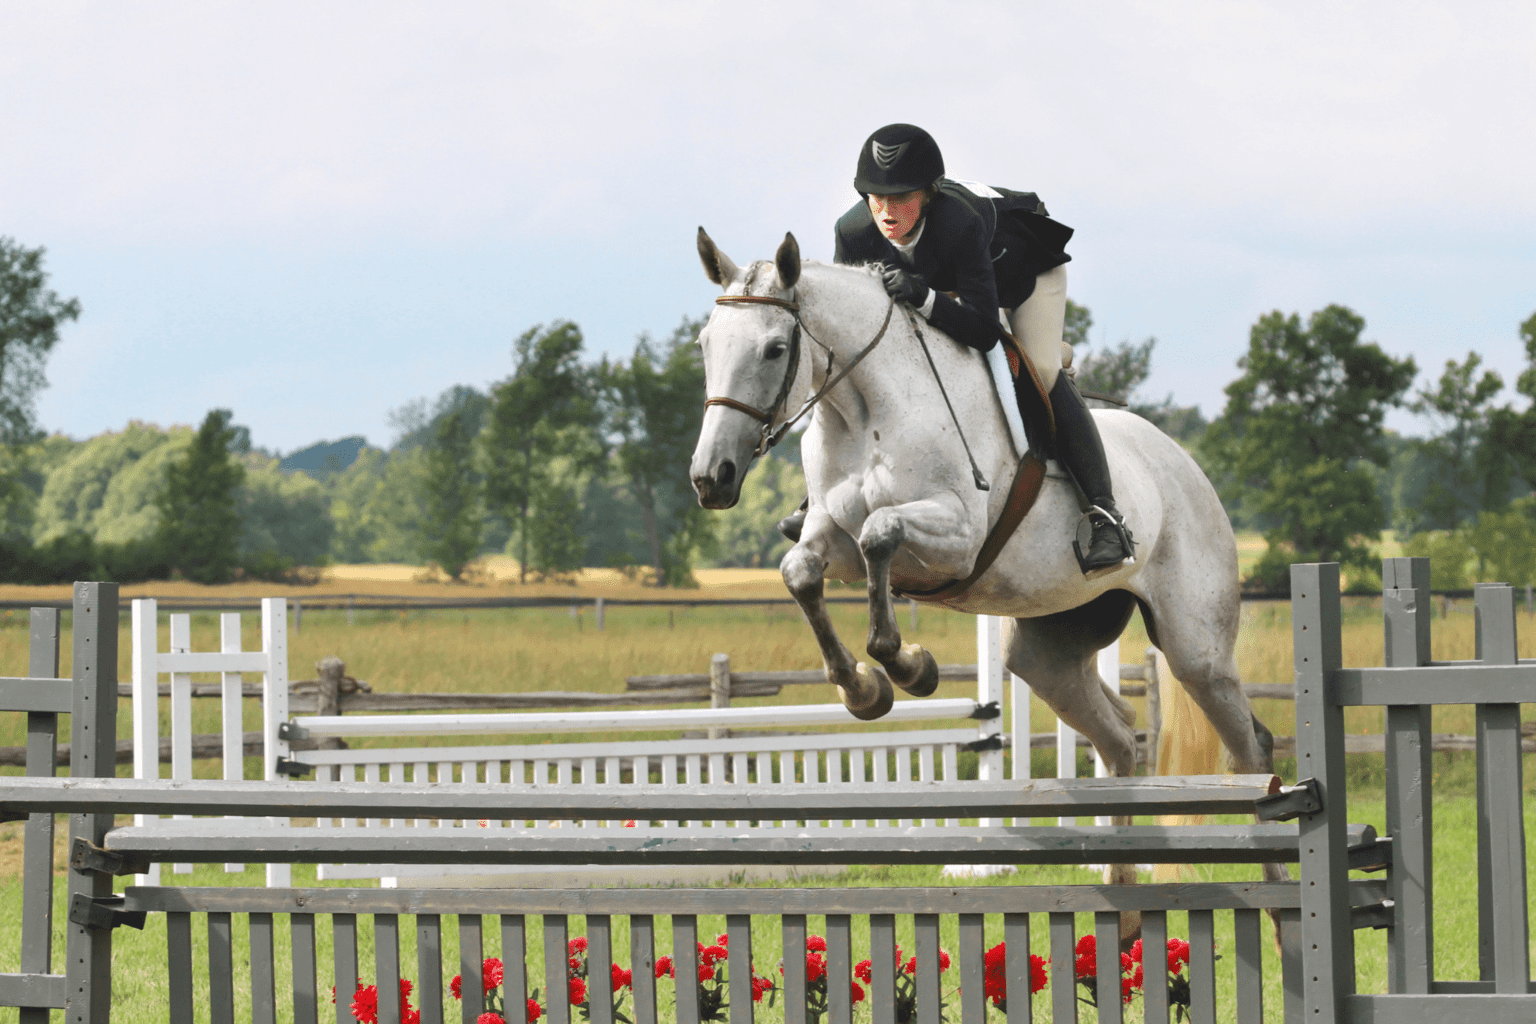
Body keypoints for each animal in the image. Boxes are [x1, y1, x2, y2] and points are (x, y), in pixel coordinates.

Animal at [688, 230, 1281, 929]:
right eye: (705, 344)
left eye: (775, 348)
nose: (711, 478)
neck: (865, 407)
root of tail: (1186, 464)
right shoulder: (829, 534)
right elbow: (801, 570)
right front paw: (863, 689)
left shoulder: (958, 534)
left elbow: (880, 534)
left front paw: (908, 666)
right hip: (1046, 651)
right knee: (1116, 735)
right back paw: (1126, 912)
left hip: (1196, 648)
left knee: (1249, 747)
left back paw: (1278, 907)